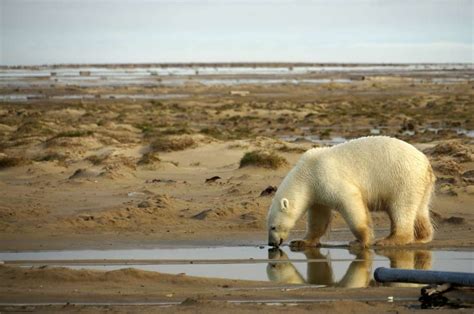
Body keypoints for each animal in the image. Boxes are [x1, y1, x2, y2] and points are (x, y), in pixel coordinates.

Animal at [266, 136, 434, 249]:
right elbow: (318, 218)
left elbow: (350, 202)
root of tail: (426, 163)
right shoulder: (317, 192)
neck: (306, 173)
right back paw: (422, 237)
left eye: (273, 227)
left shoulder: (326, 176)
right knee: (420, 210)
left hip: (402, 179)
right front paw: (301, 241)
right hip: (421, 186)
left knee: (401, 208)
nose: (272, 243)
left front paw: (360, 241)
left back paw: (388, 240)